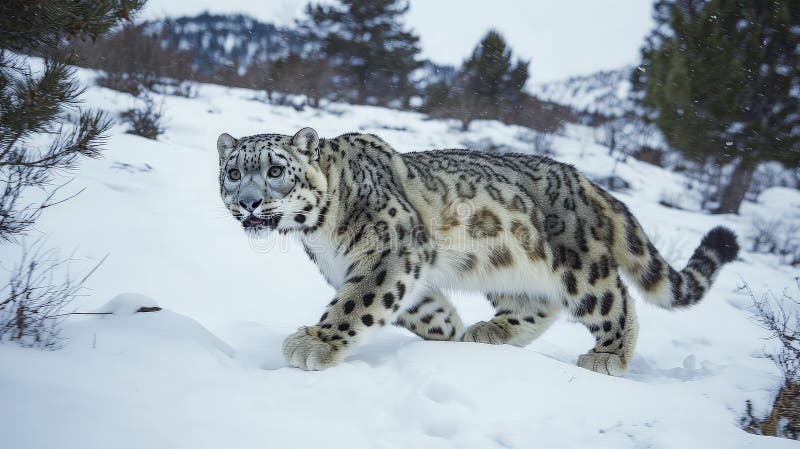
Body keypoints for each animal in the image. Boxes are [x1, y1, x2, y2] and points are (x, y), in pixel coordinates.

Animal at [216, 127, 740, 376]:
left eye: (276, 170)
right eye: (234, 173)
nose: (248, 203)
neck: (318, 234)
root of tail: (591, 185)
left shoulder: (390, 252)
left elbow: (359, 302)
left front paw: (314, 344)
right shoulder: (394, 268)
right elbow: (414, 307)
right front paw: (447, 329)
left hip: (581, 267)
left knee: (617, 301)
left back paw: (607, 356)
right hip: (507, 269)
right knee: (538, 304)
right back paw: (490, 332)